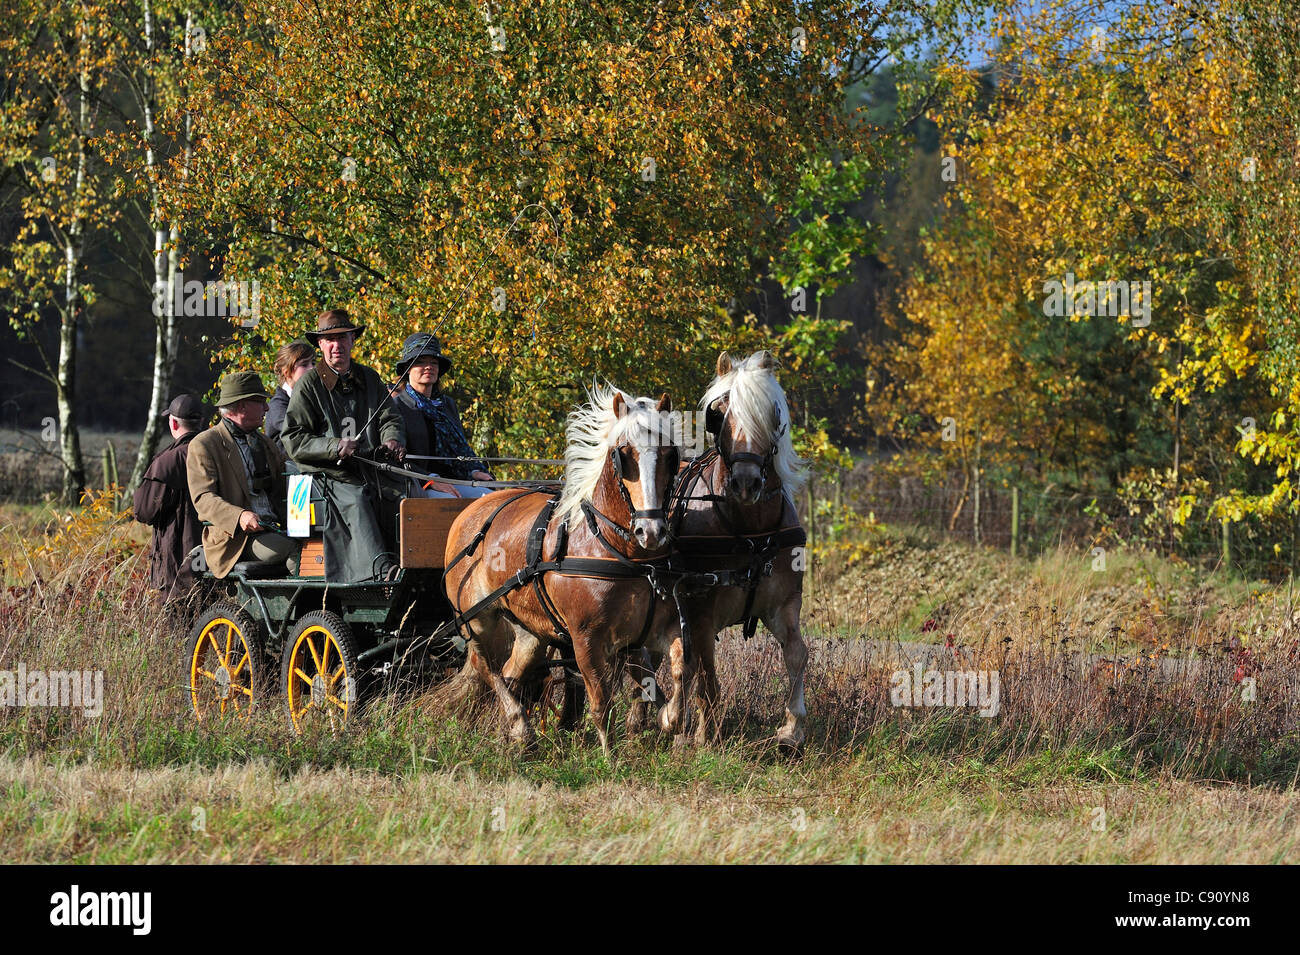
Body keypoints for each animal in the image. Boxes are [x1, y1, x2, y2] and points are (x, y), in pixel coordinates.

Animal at [440, 384, 682, 753]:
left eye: (670, 456)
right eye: (624, 454)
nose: (651, 531)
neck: (619, 553)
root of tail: (469, 512)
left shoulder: (652, 631)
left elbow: (675, 673)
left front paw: (667, 718)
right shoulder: (586, 639)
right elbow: (601, 704)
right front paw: (610, 758)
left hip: (529, 629)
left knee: (510, 671)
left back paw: (512, 735)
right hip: (477, 618)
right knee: (486, 666)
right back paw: (520, 726)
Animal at [654, 350, 810, 751]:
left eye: (773, 414)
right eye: (718, 413)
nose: (746, 482)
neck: (751, 530)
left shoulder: (783, 604)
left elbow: (796, 654)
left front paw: (792, 729)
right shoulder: (700, 611)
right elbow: (706, 675)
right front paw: (704, 738)